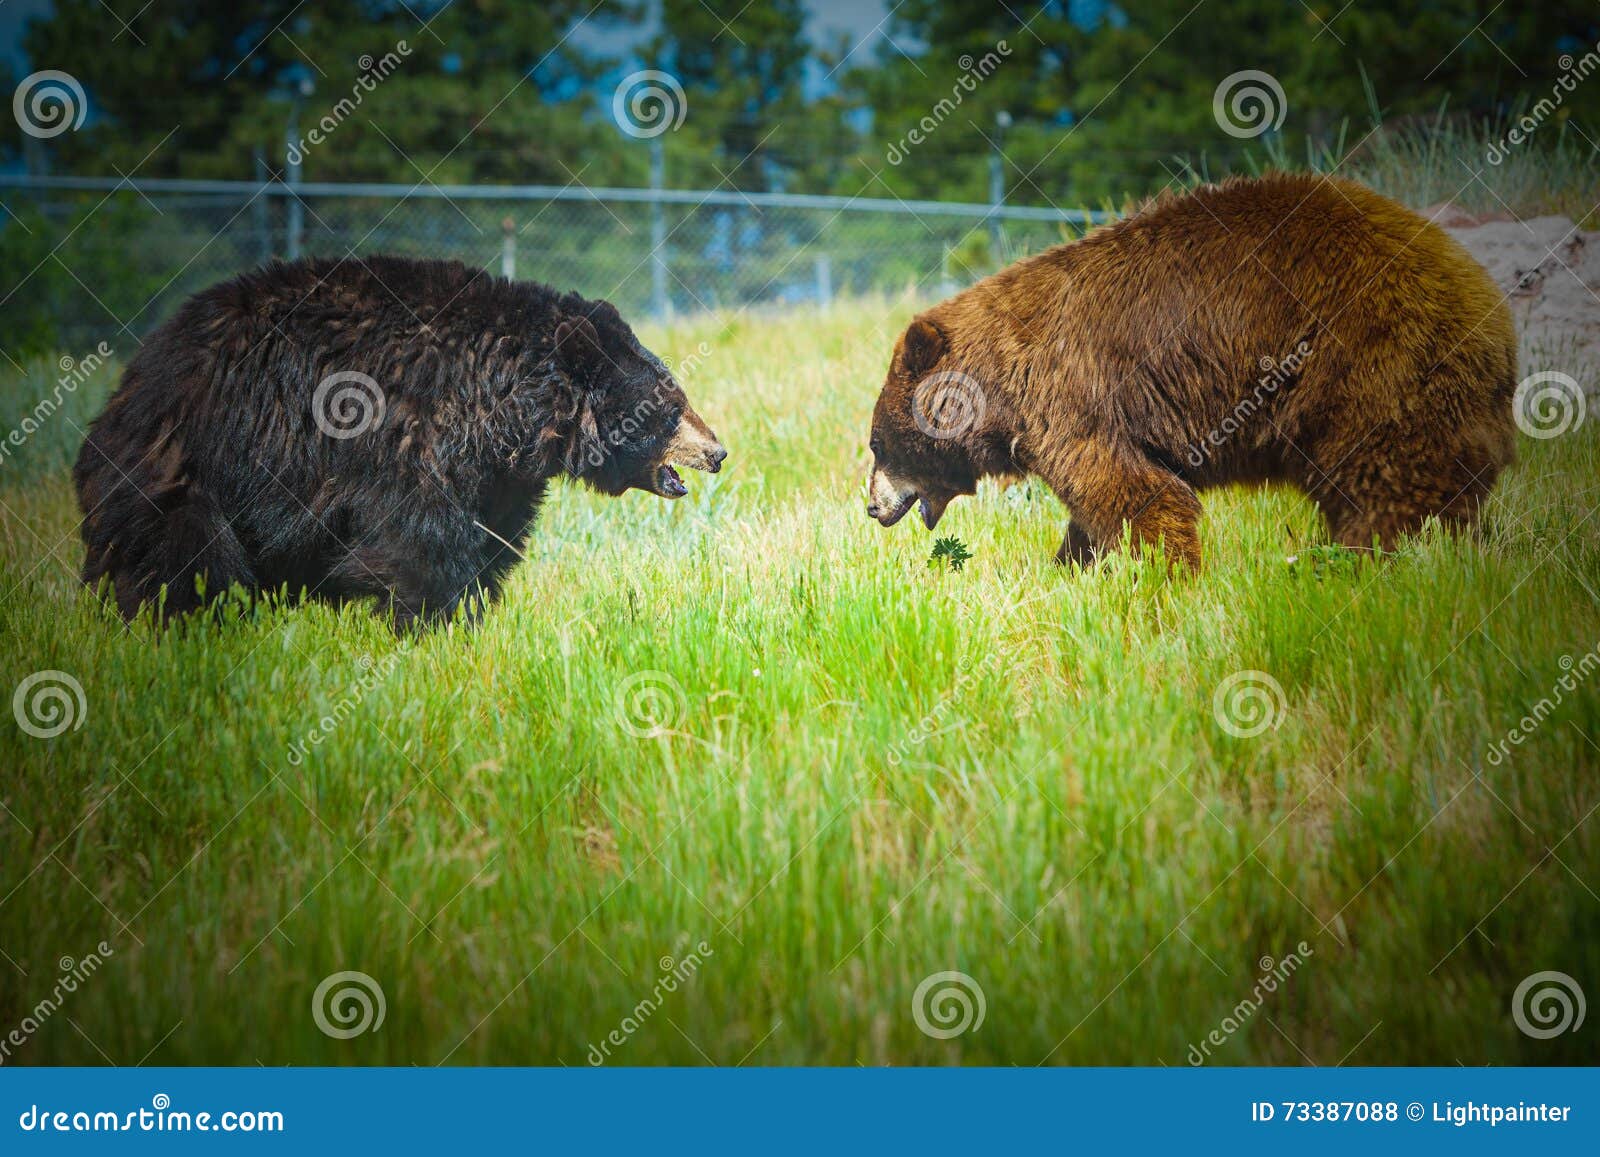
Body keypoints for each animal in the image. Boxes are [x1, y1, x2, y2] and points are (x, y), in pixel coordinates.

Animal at [74, 255, 725, 628]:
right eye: (671, 407)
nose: (717, 451)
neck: (506, 403)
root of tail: (137, 374)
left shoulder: (494, 471)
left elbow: (490, 533)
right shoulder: (404, 431)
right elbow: (419, 534)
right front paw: (435, 619)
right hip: (197, 458)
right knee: (184, 547)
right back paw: (178, 618)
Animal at [865, 172, 1518, 571]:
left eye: (876, 444)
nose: (870, 507)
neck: (1000, 391)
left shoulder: (1069, 398)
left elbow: (1134, 493)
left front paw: (1163, 571)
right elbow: (1101, 508)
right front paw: (1071, 567)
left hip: (1369, 359)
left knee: (1385, 479)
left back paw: (1343, 561)